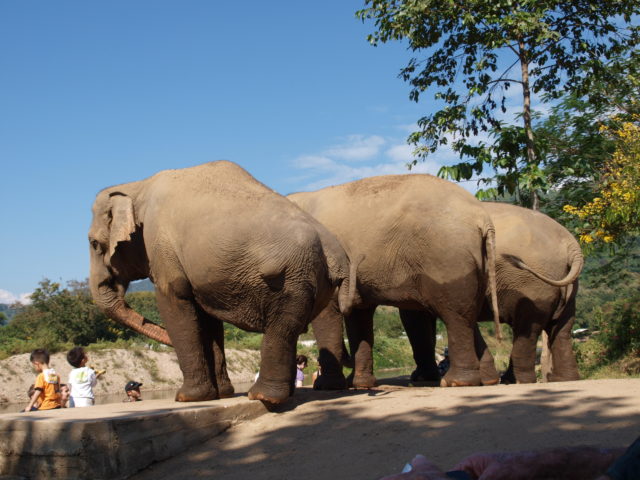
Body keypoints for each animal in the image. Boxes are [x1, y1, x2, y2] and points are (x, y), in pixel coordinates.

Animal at [88, 161, 357, 404]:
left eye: (94, 243)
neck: (136, 186)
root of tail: (337, 253)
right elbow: (208, 318)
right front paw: (220, 395)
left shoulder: (161, 247)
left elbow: (175, 302)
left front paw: (187, 398)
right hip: (310, 281)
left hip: (293, 277)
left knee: (282, 328)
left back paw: (262, 397)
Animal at [288, 174, 501, 388]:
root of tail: (482, 217)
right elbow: (359, 317)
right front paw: (360, 384)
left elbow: (330, 313)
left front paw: (326, 386)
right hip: (474, 264)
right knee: (468, 312)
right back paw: (488, 379)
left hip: (447, 259)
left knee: (455, 314)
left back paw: (456, 382)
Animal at [403, 202, 583, 384]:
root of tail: (571, 245)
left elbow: (414, 317)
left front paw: (420, 378)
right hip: (566, 287)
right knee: (562, 328)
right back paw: (563, 379)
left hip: (532, 286)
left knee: (527, 328)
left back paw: (515, 380)